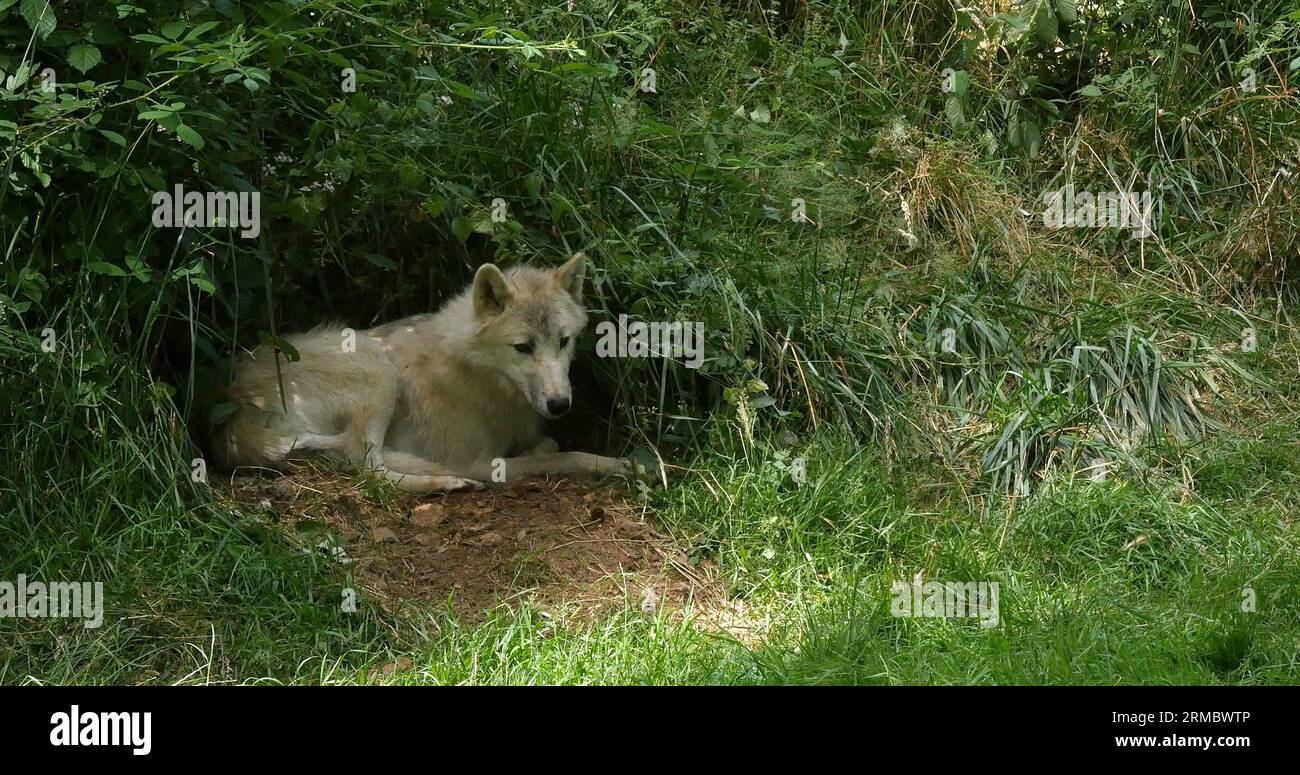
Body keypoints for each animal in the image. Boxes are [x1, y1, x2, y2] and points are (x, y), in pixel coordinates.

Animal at [211, 257, 629, 494]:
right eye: (523, 347)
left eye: (563, 341)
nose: (560, 405)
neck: (482, 378)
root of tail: (232, 406)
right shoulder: (480, 462)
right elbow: (570, 456)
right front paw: (620, 465)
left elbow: (551, 444)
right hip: (378, 369)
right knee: (367, 467)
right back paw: (444, 482)